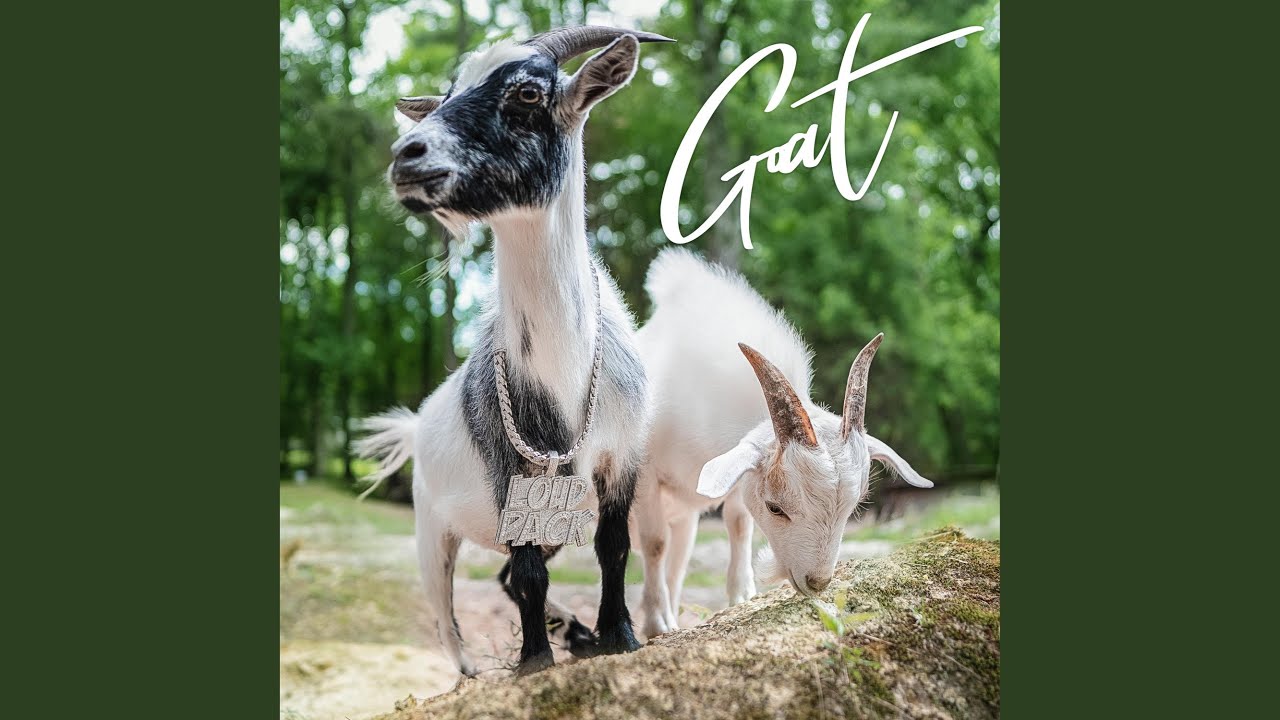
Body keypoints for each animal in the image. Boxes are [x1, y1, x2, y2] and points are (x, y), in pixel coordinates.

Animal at [358, 26, 673, 676]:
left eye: (528, 92)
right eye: (446, 95)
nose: (407, 156)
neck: (565, 382)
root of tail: (413, 427)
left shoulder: (624, 459)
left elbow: (613, 547)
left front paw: (618, 637)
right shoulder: (510, 471)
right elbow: (528, 573)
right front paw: (535, 662)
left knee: (504, 576)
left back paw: (578, 635)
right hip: (430, 532)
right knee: (449, 618)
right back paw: (476, 671)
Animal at [629, 249, 933, 637]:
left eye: (852, 507)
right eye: (775, 508)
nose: (817, 582)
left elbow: (738, 524)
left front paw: (740, 595)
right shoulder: (644, 474)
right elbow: (655, 543)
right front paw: (656, 624)